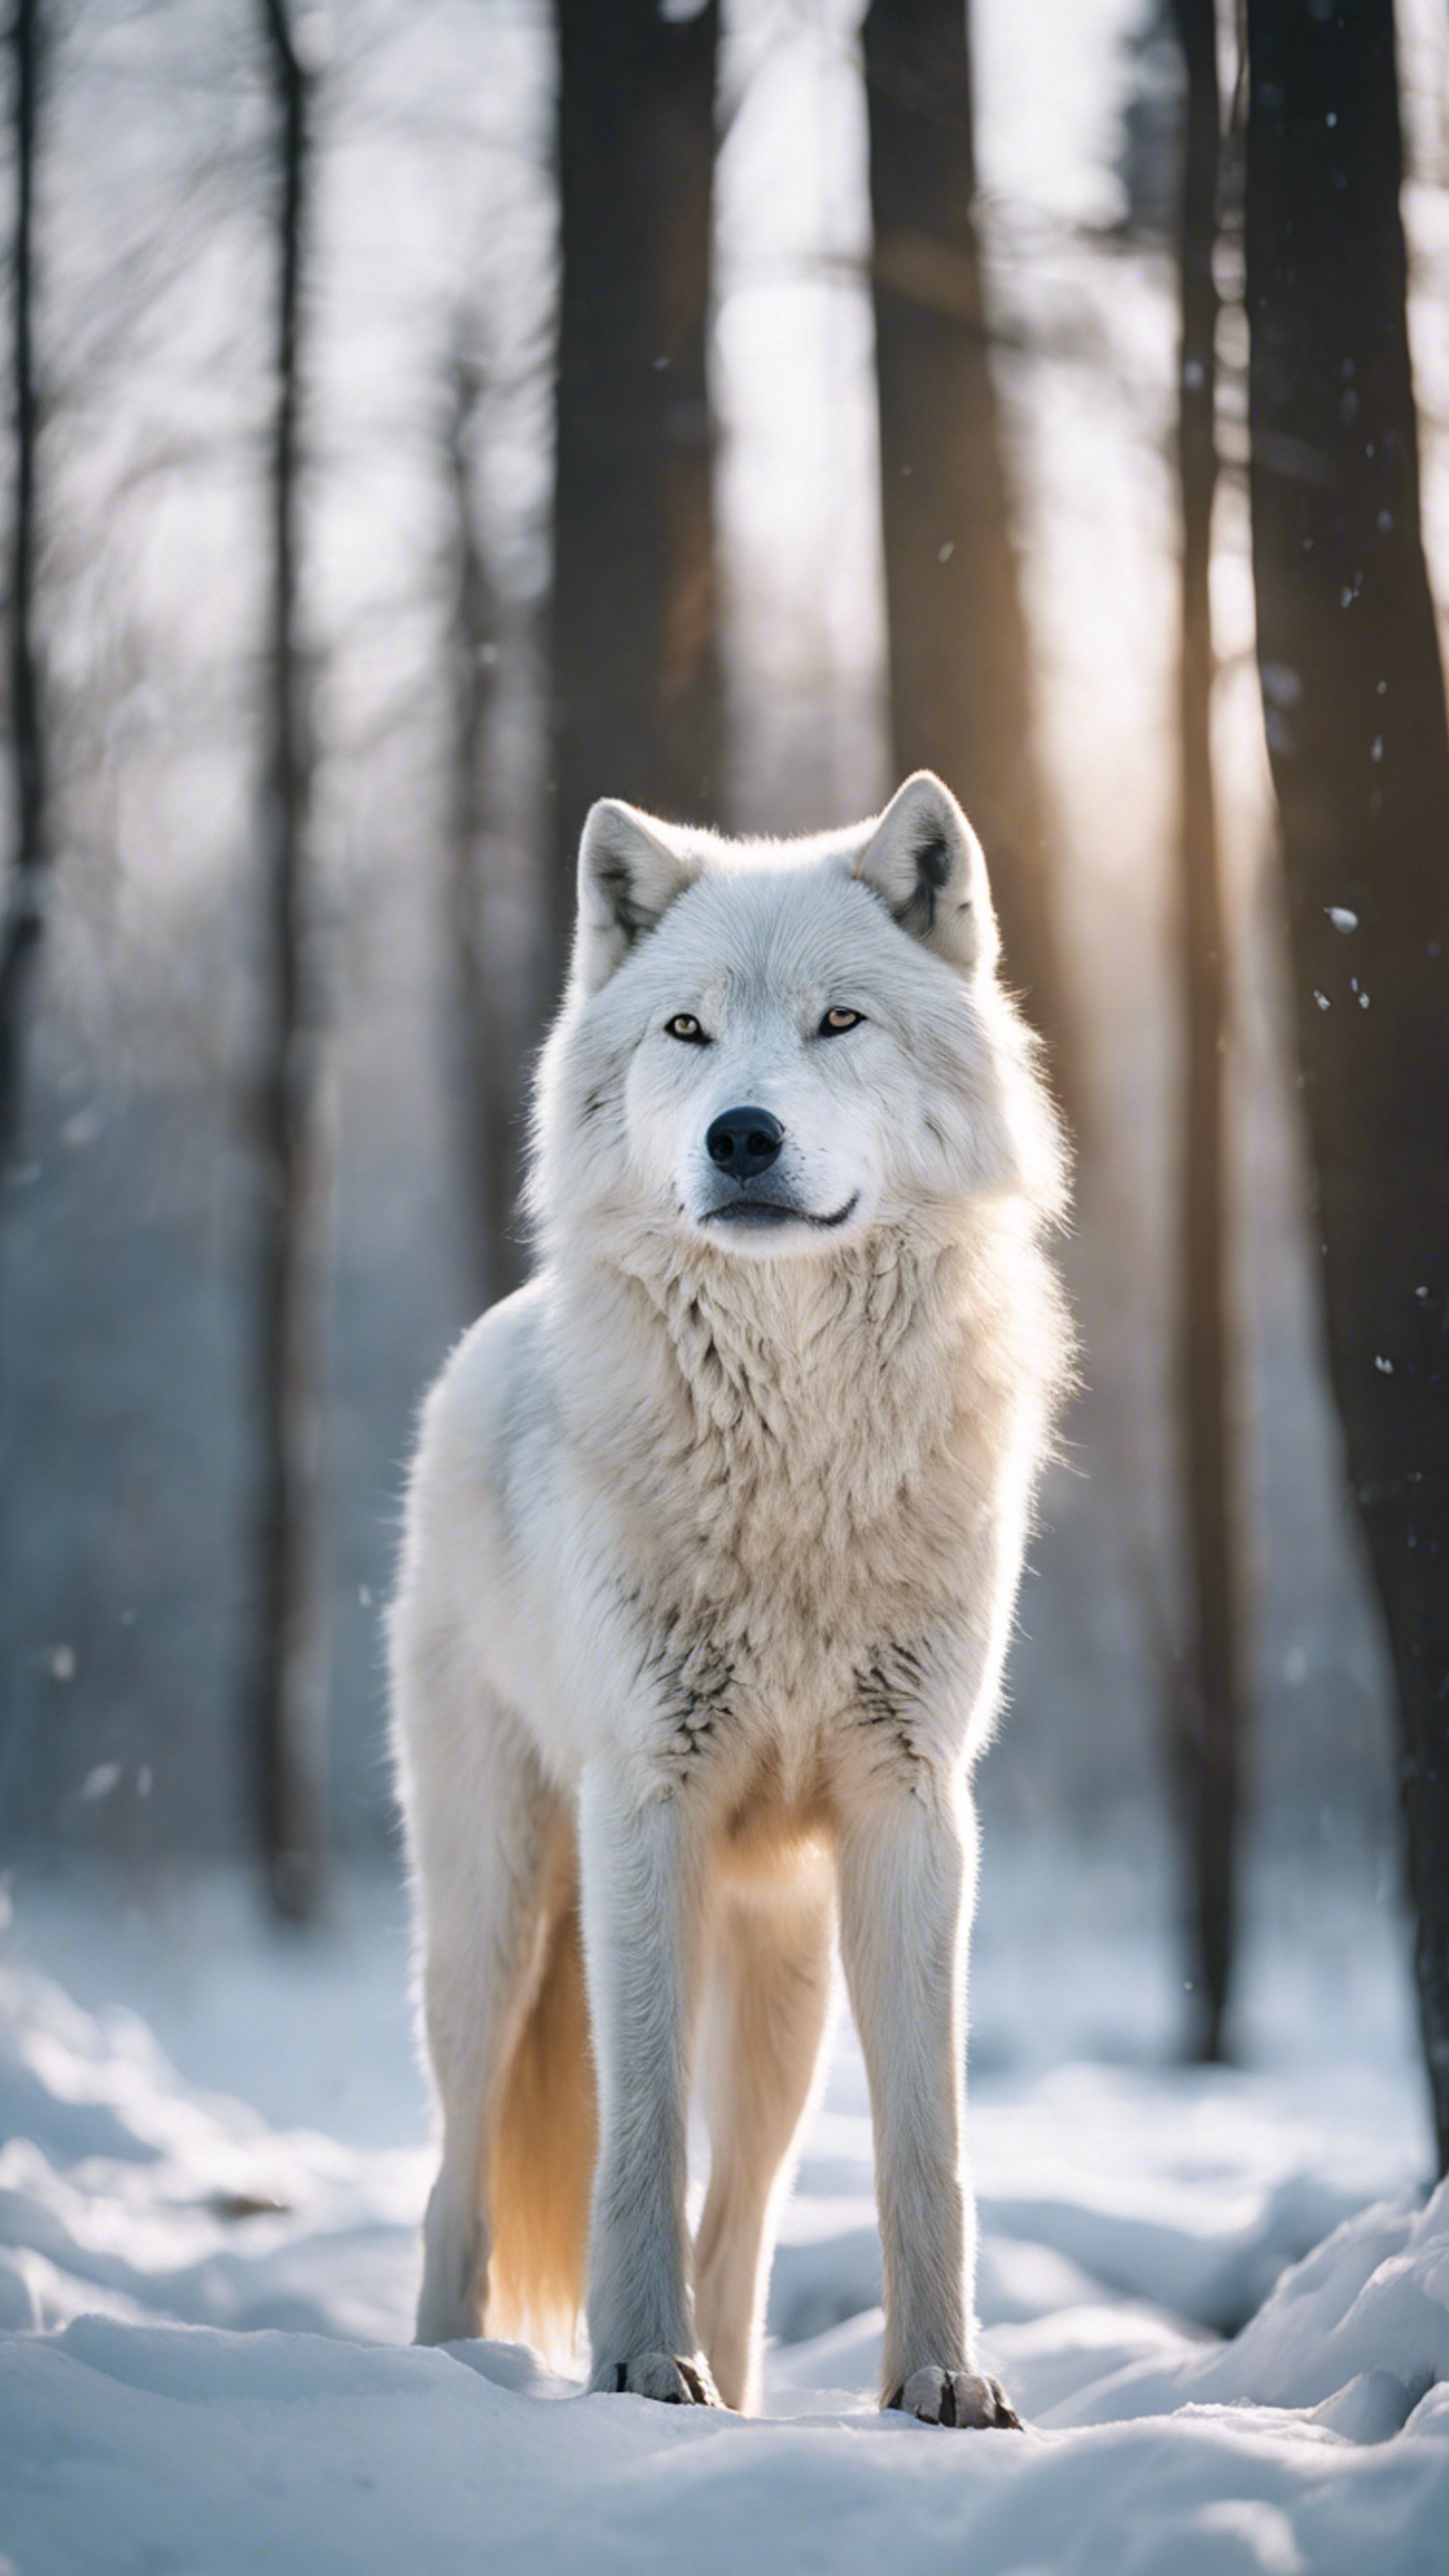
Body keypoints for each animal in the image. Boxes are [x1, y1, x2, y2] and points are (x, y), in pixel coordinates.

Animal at [390, 770, 1070, 2425]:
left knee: (744, 2214)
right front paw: (640, 2365)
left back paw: (747, 2389)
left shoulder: (913, 1810)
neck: (799, 1466)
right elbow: (636, 2133)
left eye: (838, 1022)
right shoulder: (647, 1804)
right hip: (497, 1924)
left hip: (785, 1981)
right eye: (688, 1030)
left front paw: (943, 2382)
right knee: (456, 2189)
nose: (742, 1135)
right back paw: (454, 2374)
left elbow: (928, 2145)